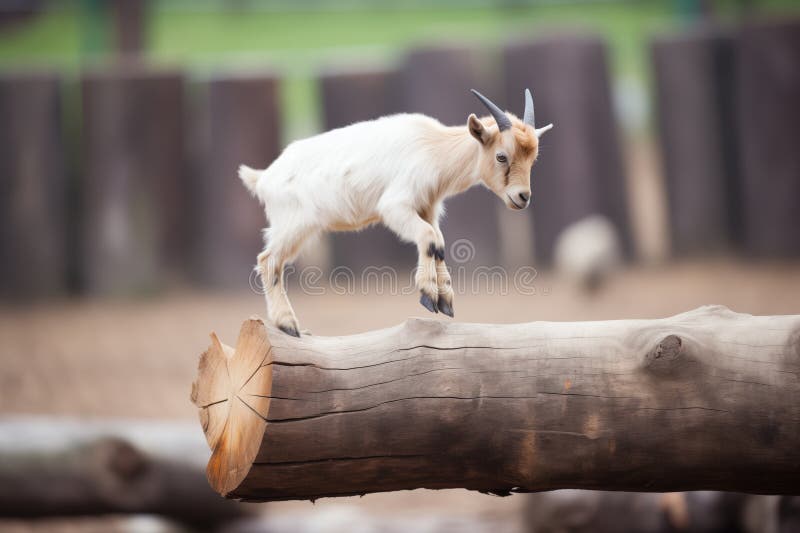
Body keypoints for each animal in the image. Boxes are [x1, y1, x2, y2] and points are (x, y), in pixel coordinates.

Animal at [239, 89, 553, 337]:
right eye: (501, 156)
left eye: (533, 158)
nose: (522, 197)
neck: (434, 148)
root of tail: (264, 177)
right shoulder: (395, 206)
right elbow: (428, 238)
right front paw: (429, 295)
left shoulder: (428, 208)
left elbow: (439, 243)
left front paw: (445, 300)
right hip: (295, 225)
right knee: (268, 260)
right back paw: (288, 325)